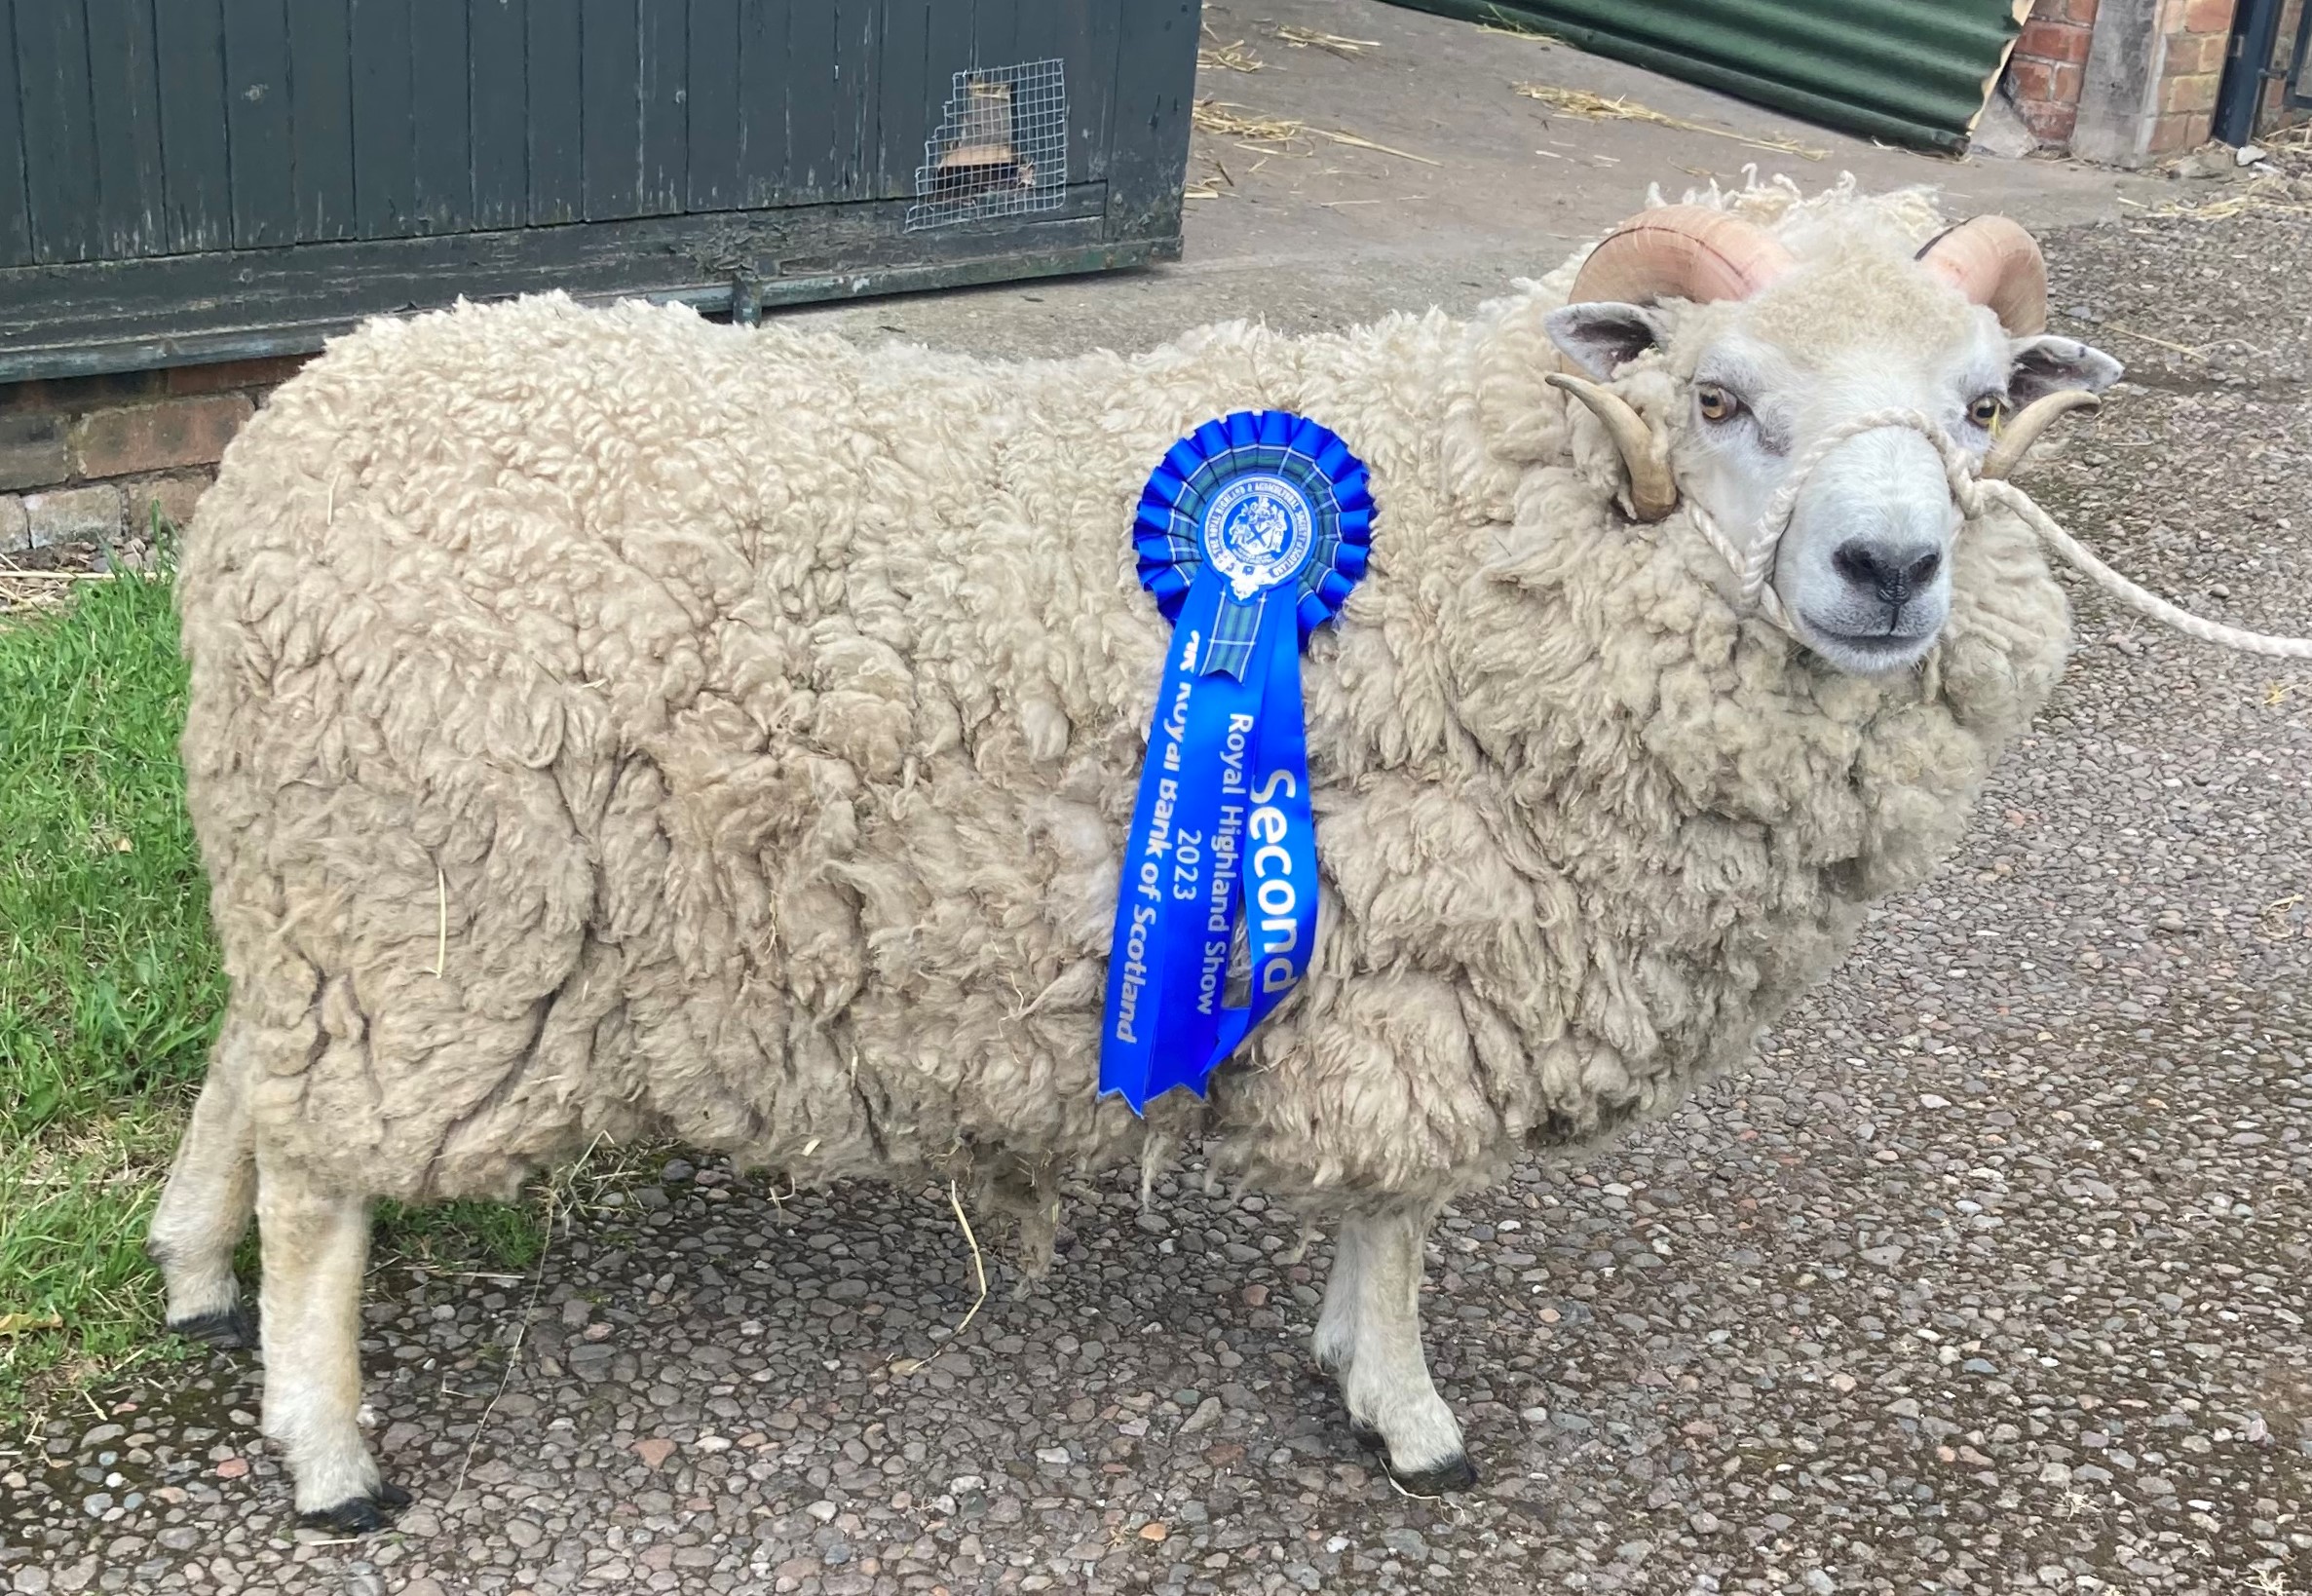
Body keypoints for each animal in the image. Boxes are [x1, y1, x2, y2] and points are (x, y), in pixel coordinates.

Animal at [148, 178, 2122, 1529]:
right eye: (1717, 398)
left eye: (1974, 406)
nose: (1890, 569)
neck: (1484, 523)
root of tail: (295, 426)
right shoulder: (1428, 964)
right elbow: (1403, 1206)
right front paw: (1405, 1410)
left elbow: (1378, 1206)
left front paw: (1354, 1360)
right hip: (424, 894)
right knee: (323, 1178)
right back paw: (326, 1448)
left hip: (323, 883)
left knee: (252, 1064)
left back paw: (193, 1271)